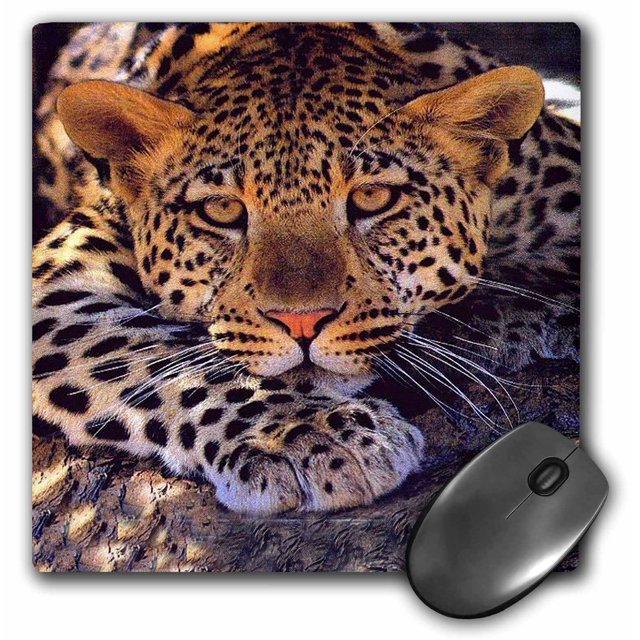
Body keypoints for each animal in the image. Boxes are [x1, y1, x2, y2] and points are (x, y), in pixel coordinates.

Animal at [32, 23, 581, 514]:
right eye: (221, 210)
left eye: (372, 197)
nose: (302, 323)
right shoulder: (57, 281)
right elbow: (166, 362)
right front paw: (314, 440)